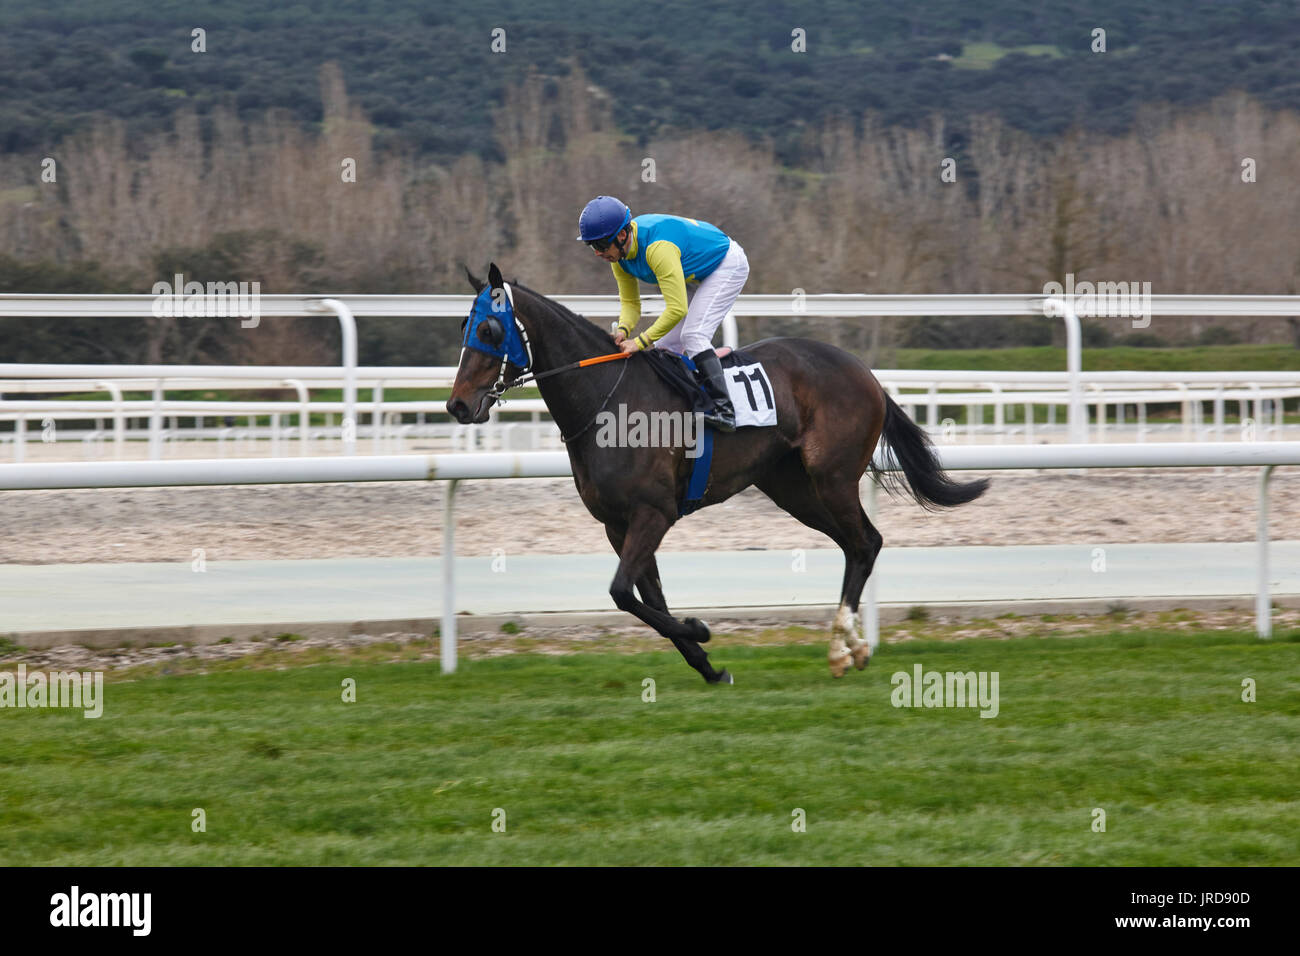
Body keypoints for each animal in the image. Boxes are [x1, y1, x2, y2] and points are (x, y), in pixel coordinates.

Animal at [447, 263, 989, 683]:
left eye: (490, 331)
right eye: (464, 327)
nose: (457, 405)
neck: (607, 400)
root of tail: (866, 373)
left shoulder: (654, 512)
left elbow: (623, 592)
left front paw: (701, 630)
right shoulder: (617, 524)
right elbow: (648, 598)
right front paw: (708, 664)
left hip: (832, 478)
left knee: (865, 542)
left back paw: (841, 647)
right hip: (792, 487)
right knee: (859, 545)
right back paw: (852, 647)